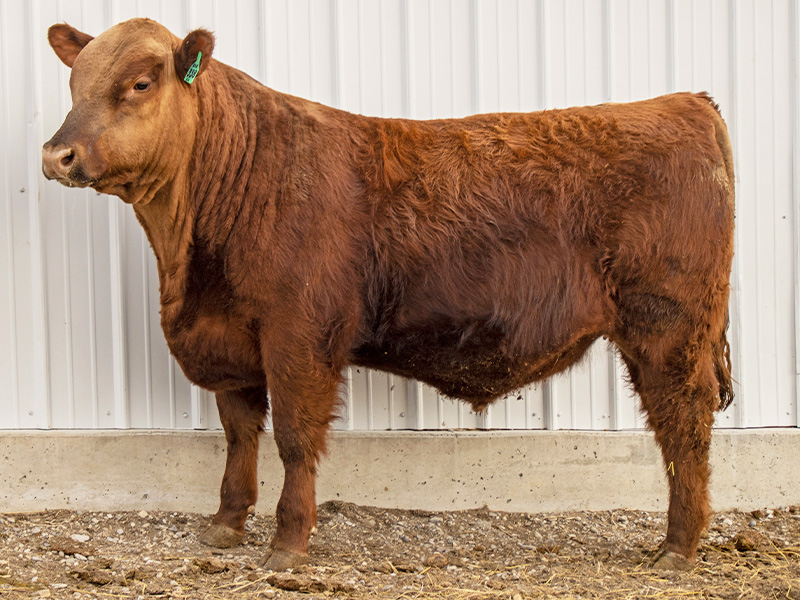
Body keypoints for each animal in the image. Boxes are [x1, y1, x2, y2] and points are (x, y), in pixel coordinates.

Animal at [42, 18, 735, 572]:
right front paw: (225, 526)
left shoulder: (299, 336)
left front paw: (287, 545)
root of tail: (687, 104)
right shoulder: (233, 344)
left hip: (669, 328)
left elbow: (294, 437)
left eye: (140, 83)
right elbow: (240, 435)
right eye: (75, 83)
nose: (57, 154)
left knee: (684, 424)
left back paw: (677, 549)